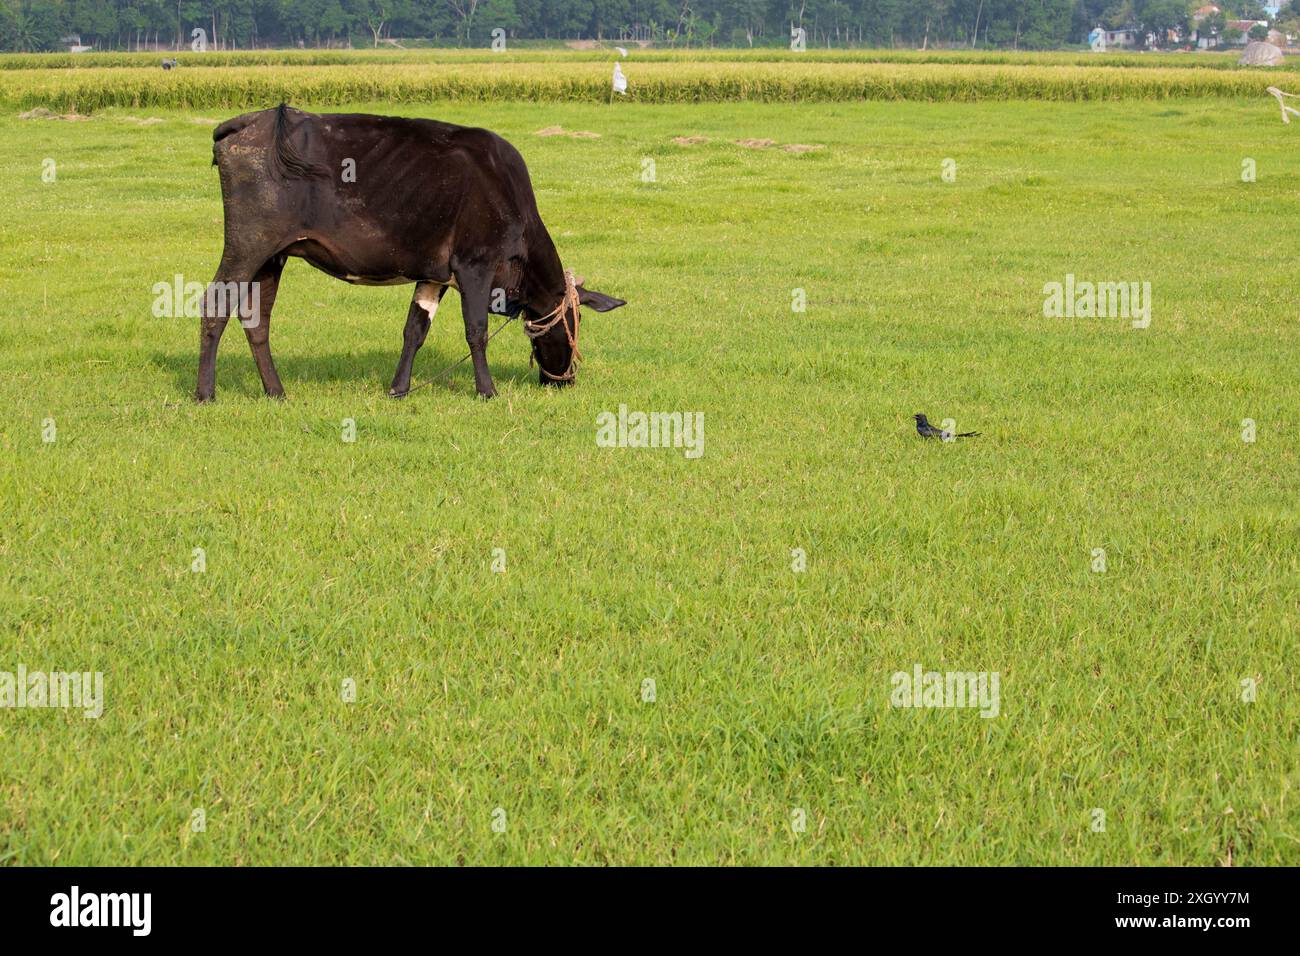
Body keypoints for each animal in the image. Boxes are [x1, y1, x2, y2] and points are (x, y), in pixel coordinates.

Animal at [197, 104, 626, 403]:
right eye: (573, 323)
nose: (565, 381)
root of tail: (255, 120)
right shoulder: (476, 264)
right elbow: (476, 331)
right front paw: (487, 390)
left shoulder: (434, 275)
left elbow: (414, 330)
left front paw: (399, 388)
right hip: (248, 245)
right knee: (215, 306)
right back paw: (205, 393)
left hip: (273, 256)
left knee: (257, 319)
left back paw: (276, 391)